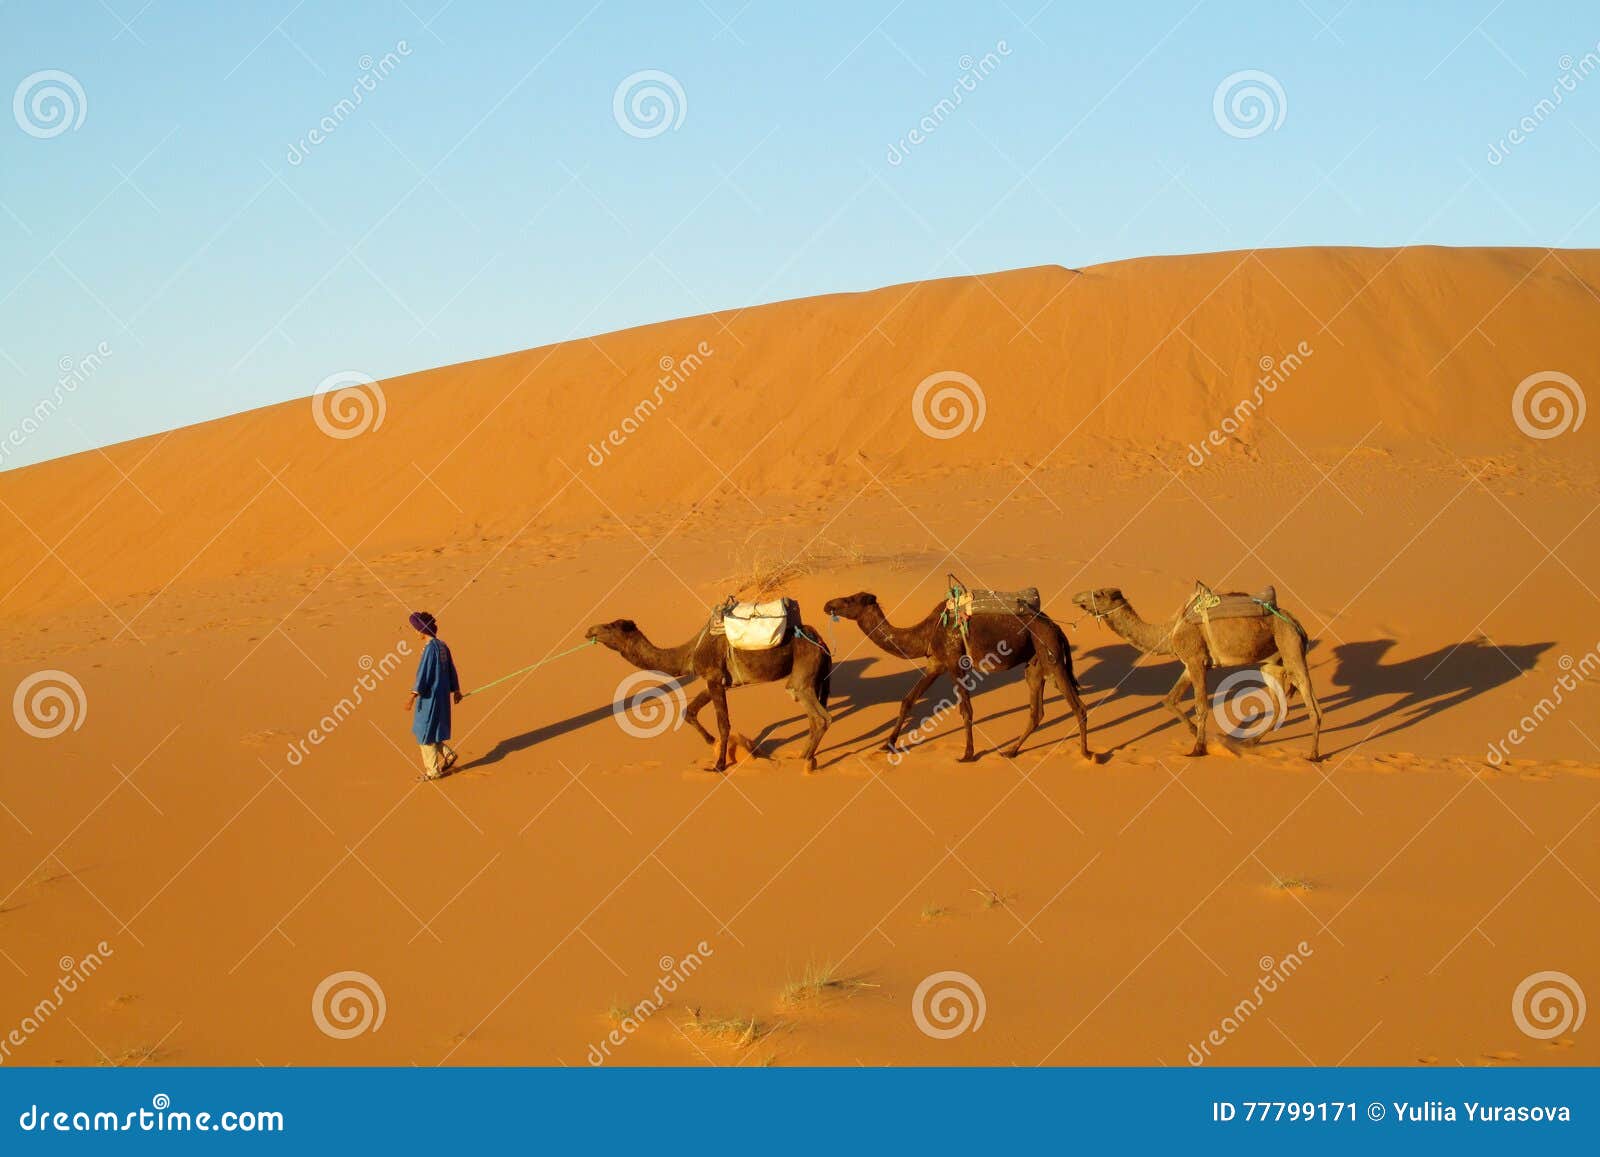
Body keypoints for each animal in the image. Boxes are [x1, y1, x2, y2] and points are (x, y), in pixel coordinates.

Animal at [585, 615, 832, 772]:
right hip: (814, 677)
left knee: (820, 716)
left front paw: (719, 765)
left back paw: (807, 761)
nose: (589, 630)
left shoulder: (714, 678)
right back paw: (802, 756)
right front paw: (710, 741)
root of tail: (821, 642)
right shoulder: (711, 680)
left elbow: (723, 723)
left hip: (802, 675)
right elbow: (688, 711)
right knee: (814, 717)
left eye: (611, 625)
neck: (688, 654)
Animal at [821, 592, 1092, 762]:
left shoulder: (954, 662)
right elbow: (907, 701)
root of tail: (1056, 628)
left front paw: (967, 754)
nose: (827, 605)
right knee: (1037, 712)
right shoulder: (935, 664)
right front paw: (886, 744)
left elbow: (966, 709)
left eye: (850, 599)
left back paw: (1086, 754)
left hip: (1051, 656)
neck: (925, 632)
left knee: (1078, 706)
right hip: (1035, 665)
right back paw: (1010, 751)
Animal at [1070, 584, 1322, 760]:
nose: (1076, 597)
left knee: (1311, 703)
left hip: (1291, 647)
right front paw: (1195, 734)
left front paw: (1197, 749)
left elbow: (1201, 706)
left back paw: (1313, 755)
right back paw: (1251, 743)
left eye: (1099, 594)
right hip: (1270, 662)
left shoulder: (1196, 660)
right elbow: (1169, 700)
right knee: (1281, 705)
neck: (1168, 631)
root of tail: (1297, 624)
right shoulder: (1188, 663)